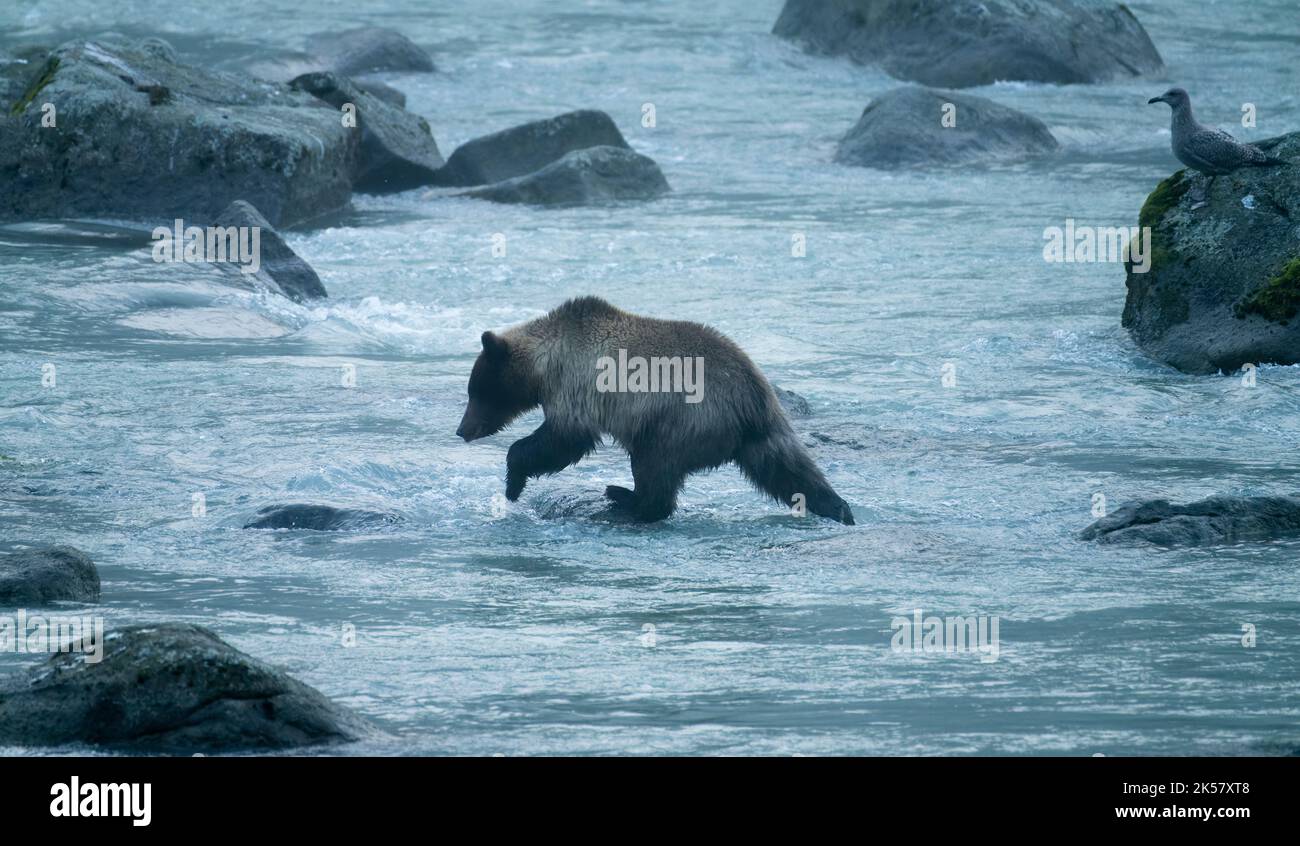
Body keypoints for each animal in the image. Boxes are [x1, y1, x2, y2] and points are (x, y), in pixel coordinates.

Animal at [456, 296, 855, 524]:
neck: (545, 361)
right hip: (762, 430)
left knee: (655, 464)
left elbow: (563, 439)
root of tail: (752, 399)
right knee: (788, 468)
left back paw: (625, 499)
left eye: (477, 392)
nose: (462, 429)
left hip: (683, 418)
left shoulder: (574, 386)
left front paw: (513, 481)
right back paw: (838, 508)